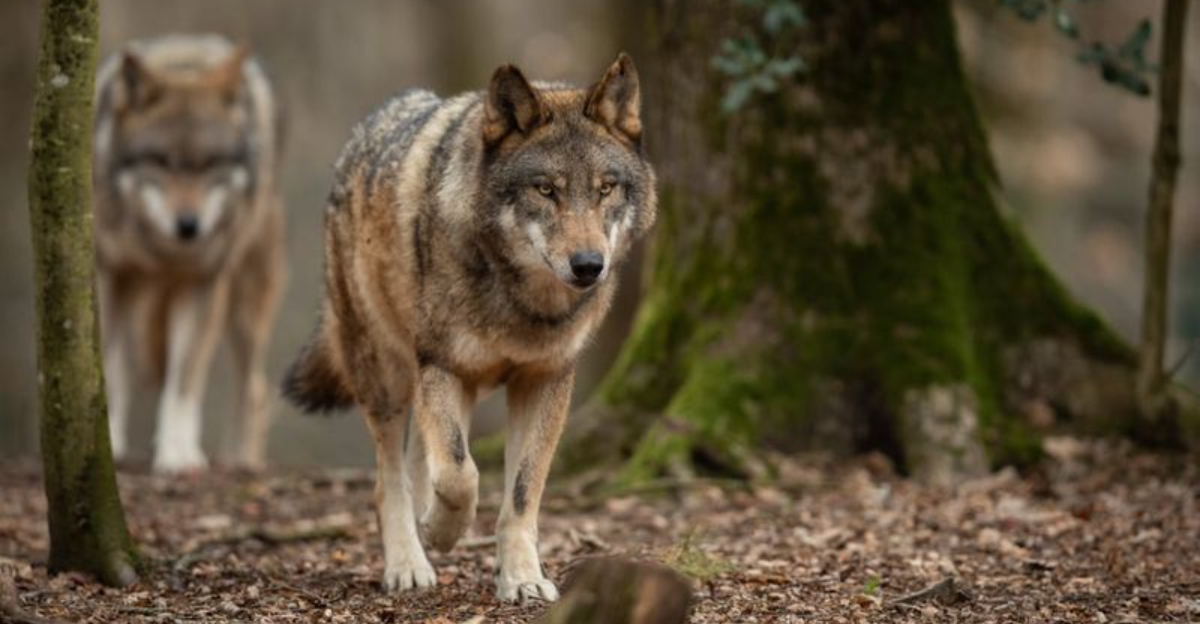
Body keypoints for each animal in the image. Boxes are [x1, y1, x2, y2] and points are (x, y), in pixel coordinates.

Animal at [93, 35, 286, 472]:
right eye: (162, 161)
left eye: (210, 163)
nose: (188, 225)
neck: (163, 254)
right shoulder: (109, 278)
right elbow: (109, 372)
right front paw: (109, 445)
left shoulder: (202, 284)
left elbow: (182, 385)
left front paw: (178, 457)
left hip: (245, 308)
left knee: (255, 392)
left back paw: (240, 462)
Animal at [282, 54, 655, 602]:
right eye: (546, 190)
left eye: (605, 188)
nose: (590, 266)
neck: (522, 304)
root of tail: (365, 129)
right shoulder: (443, 366)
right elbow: (461, 473)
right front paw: (442, 531)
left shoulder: (546, 379)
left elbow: (522, 492)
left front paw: (522, 577)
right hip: (386, 375)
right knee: (389, 479)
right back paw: (408, 562)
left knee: (419, 458)